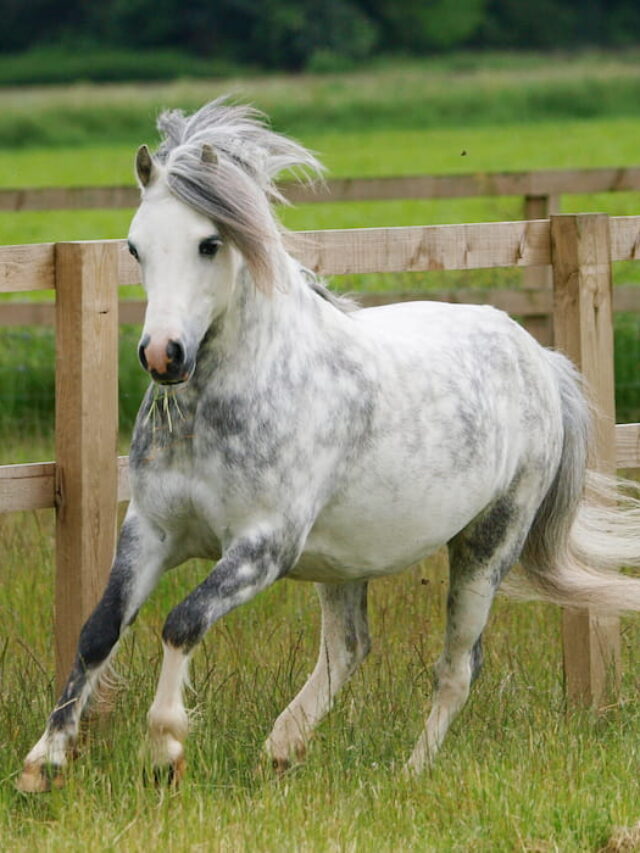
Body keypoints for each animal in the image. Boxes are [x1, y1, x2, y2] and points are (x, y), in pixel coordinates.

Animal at [17, 98, 640, 792]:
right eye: (134, 247)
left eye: (209, 243)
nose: (162, 356)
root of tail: (540, 357)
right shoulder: (151, 529)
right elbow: (98, 630)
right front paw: (43, 763)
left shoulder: (263, 546)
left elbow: (182, 622)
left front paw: (165, 749)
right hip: (346, 557)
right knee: (349, 647)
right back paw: (282, 748)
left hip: (488, 544)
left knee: (457, 665)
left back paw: (410, 772)